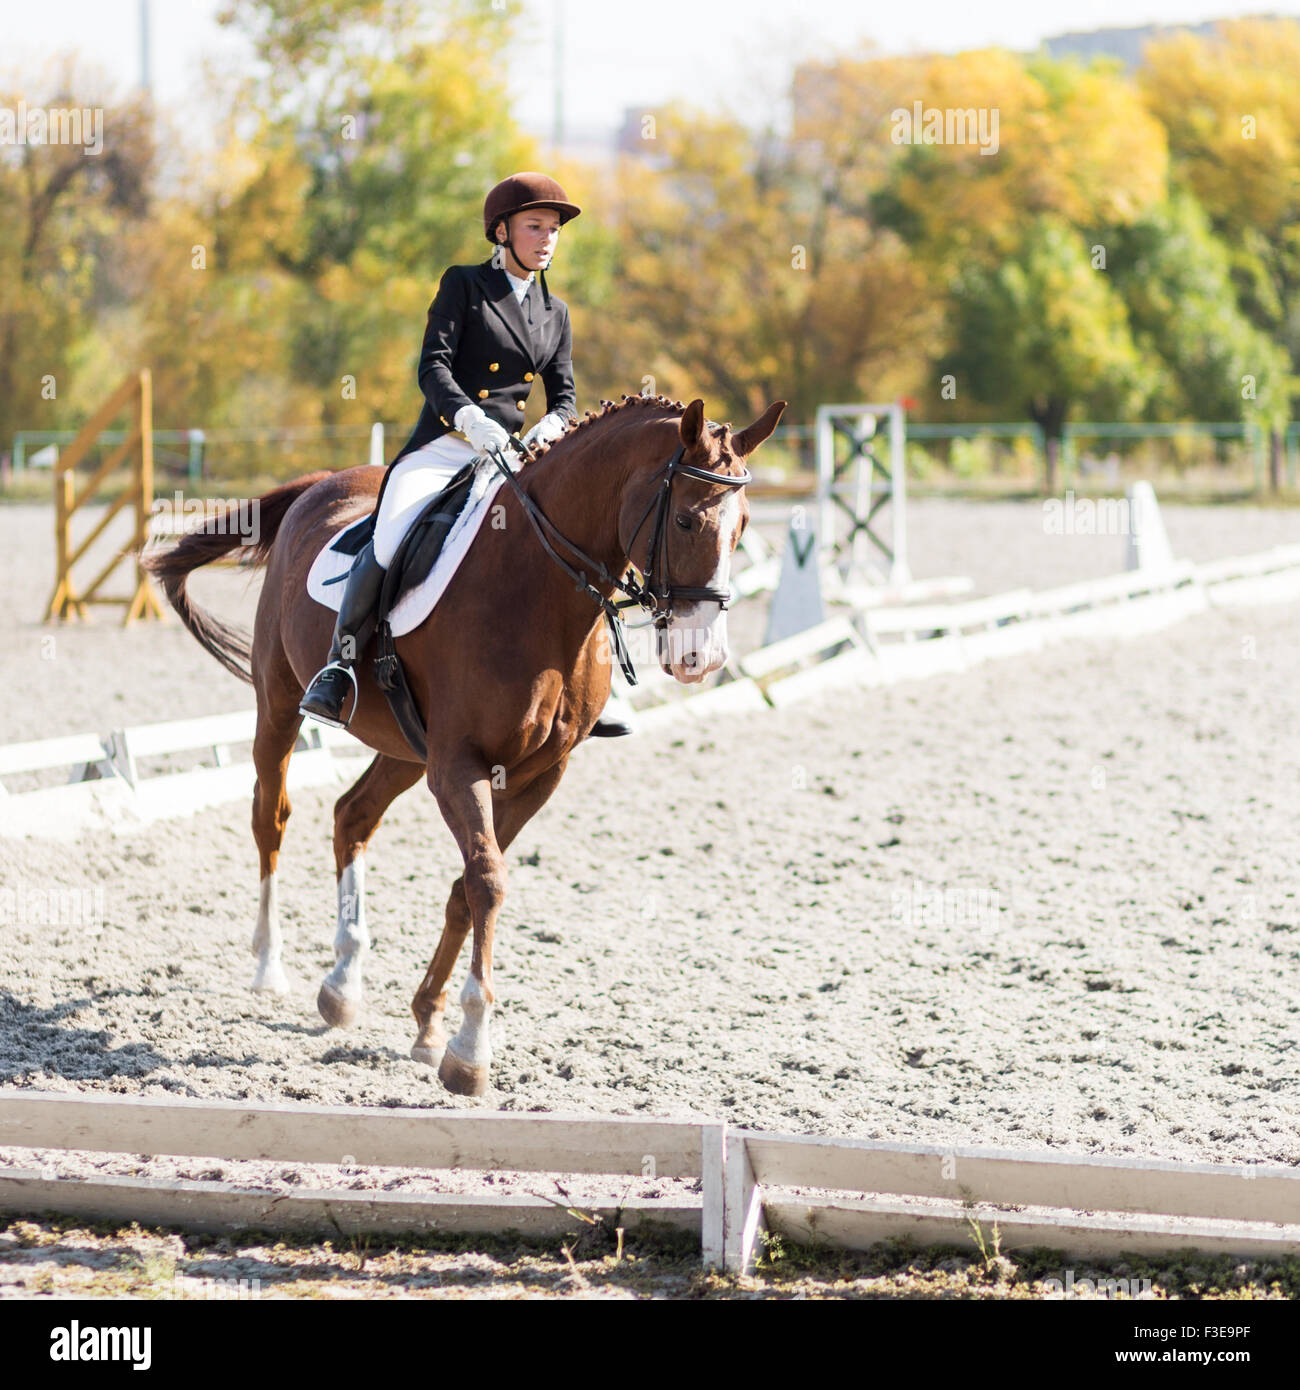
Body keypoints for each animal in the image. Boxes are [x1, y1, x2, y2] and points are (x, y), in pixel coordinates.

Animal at [144, 393, 786, 1095]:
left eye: (743, 527)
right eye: (689, 522)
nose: (702, 658)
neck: (537, 590)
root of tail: (325, 482)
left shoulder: (537, 774)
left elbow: (468, 885)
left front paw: (430, 1023)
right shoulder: (458, 767)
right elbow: (488, 881)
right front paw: (472, 1049)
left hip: (403, 745)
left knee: (352, 815)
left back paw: (342, 984)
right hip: (280, 702)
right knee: (272, 816)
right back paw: (269, 967)